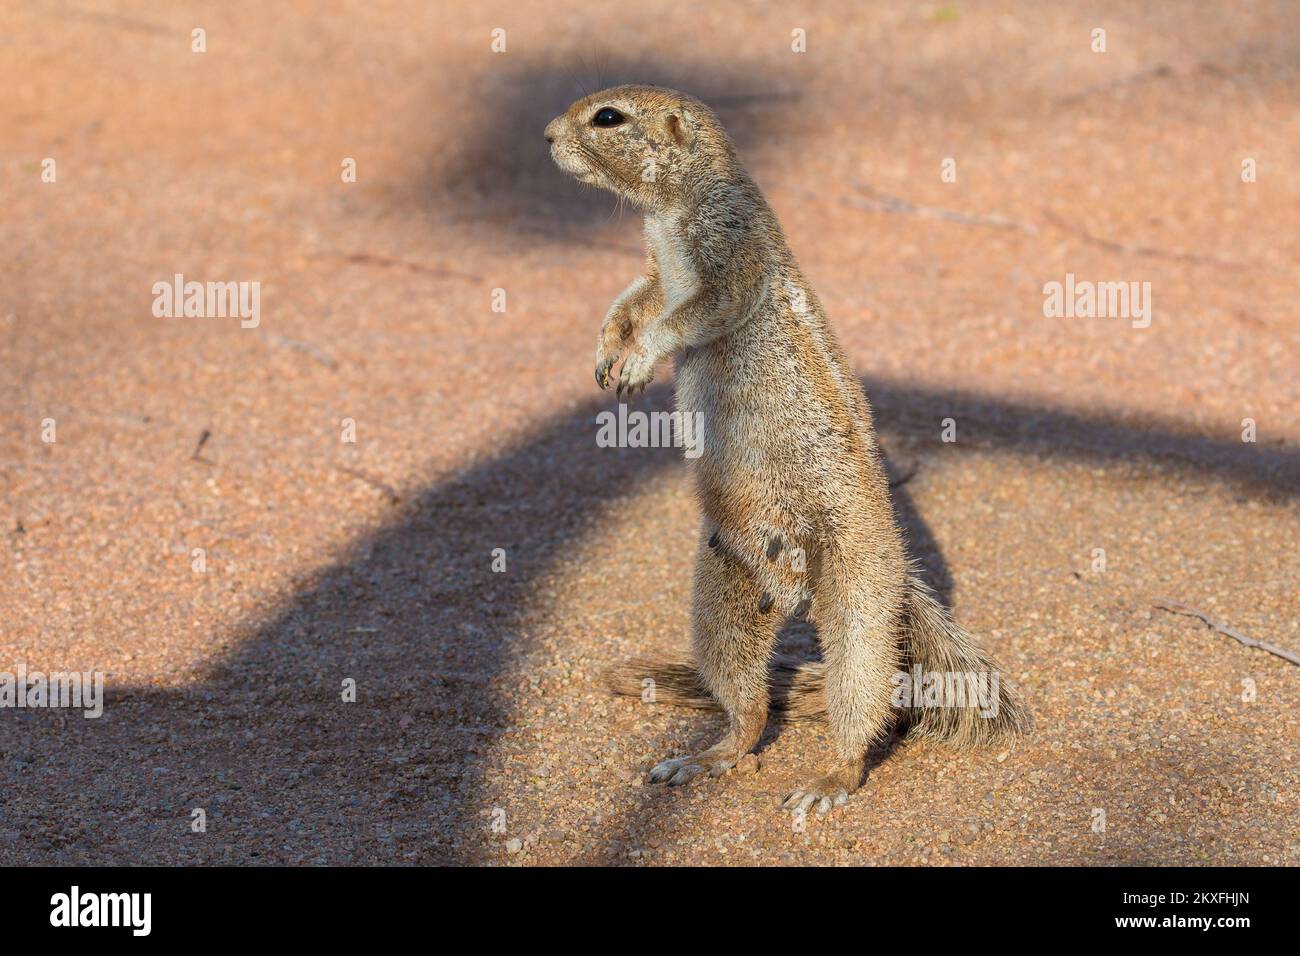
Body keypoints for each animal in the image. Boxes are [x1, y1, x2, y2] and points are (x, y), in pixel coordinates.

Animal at [546, 85, 1029, 815]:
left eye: (609, 117)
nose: (547, 136)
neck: (678, 205)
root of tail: (791, 593)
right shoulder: (656, 267)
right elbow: (633, 299)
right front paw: (607, 349)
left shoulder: (730, 250)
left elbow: (695, 312)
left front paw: (640, 358)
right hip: (722, 587)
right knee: (748, 708)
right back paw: (705, 758)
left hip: (858, 589)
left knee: (861, 694)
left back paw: (830, 779)